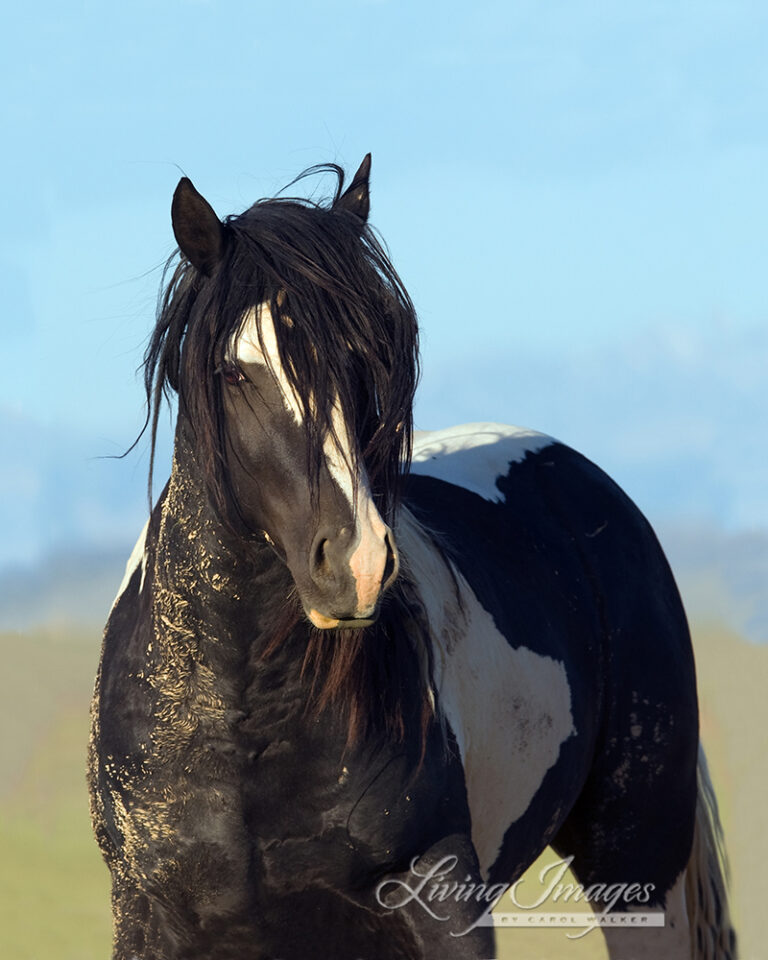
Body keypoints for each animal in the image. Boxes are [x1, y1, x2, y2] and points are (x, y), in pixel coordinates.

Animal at [88, 155, 737, 960]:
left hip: (640, 863)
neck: (239, 722)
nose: (357, 564)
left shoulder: (441, 901)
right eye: (236, 371)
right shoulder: (155, 921)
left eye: (369, 356)